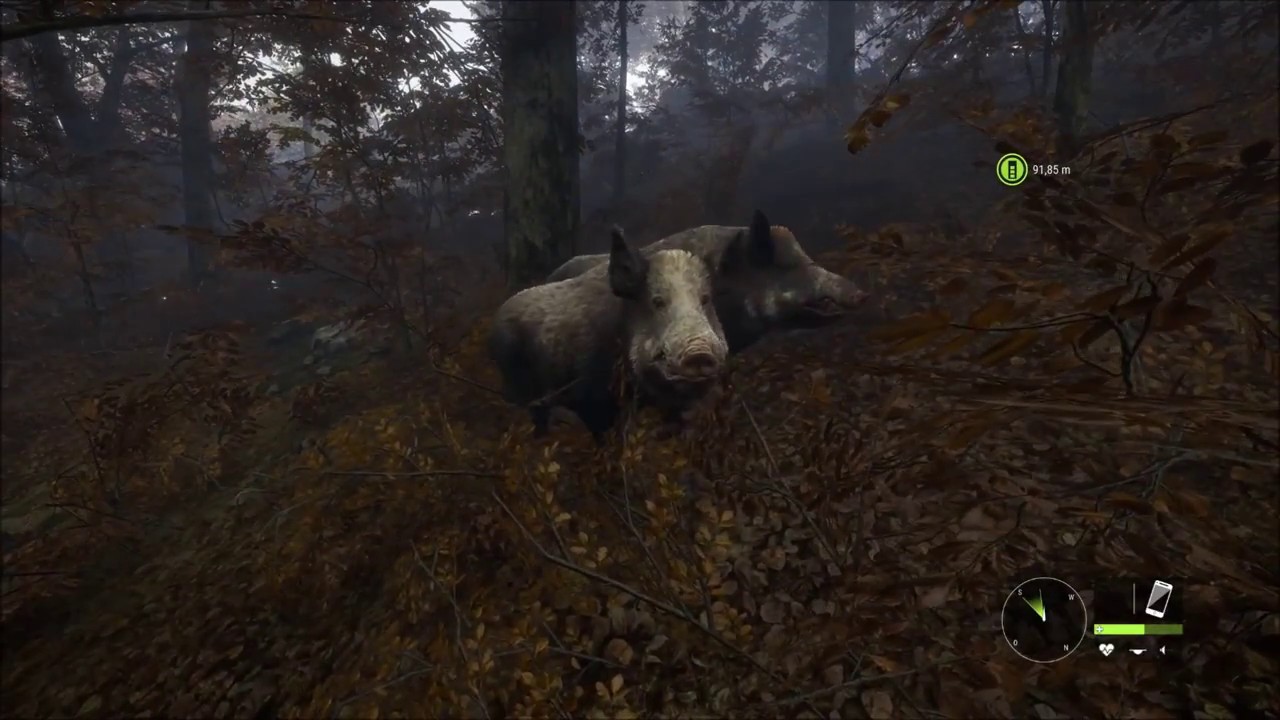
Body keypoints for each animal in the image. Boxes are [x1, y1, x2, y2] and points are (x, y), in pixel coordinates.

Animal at [488, 227, 729, 443]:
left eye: (705, 299)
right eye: (657, 301)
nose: (699, 353)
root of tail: (499, 313)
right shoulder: (591, 397)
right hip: (517, 384)